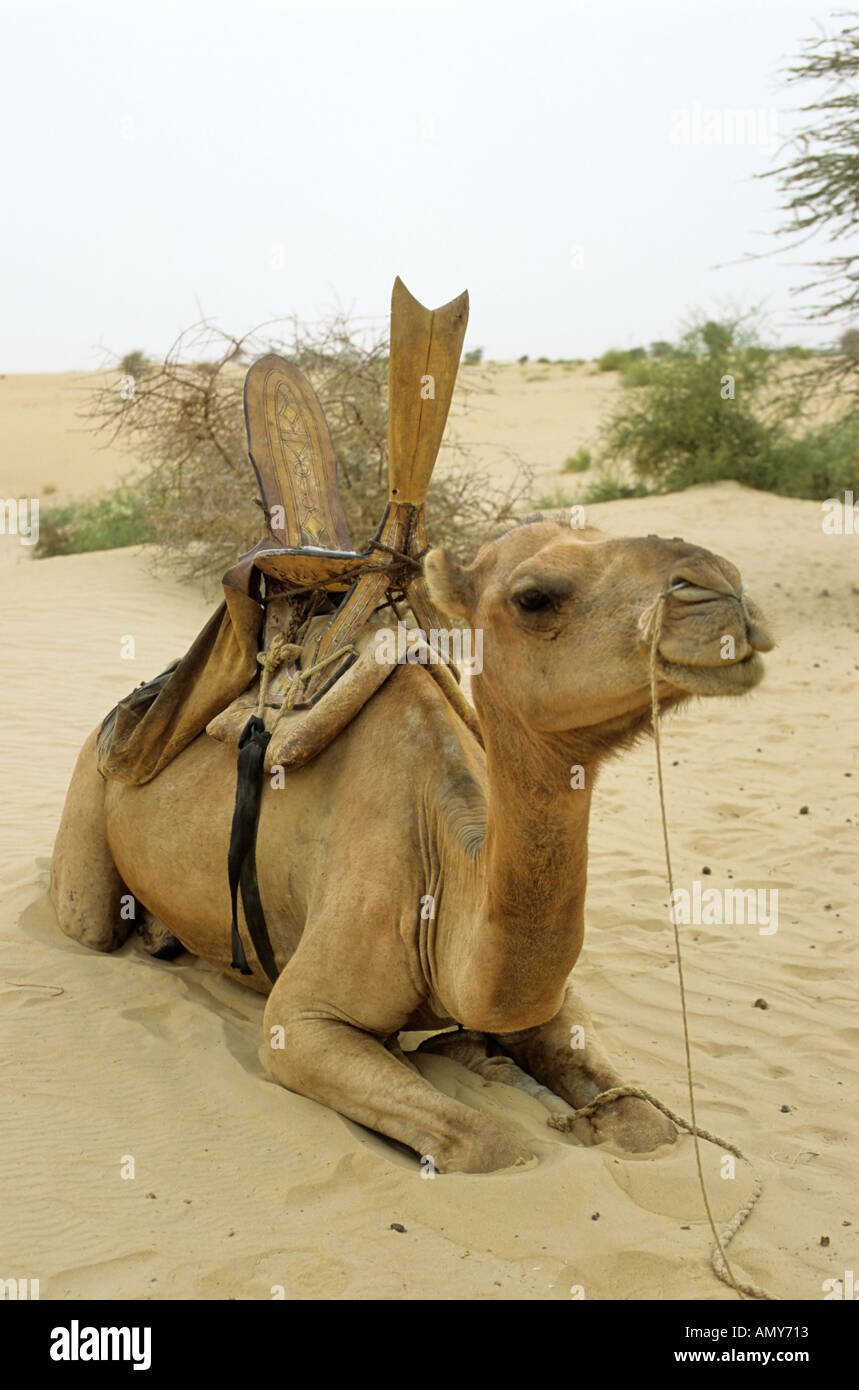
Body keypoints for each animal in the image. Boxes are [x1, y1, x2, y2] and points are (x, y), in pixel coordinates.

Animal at [50, 516, 773, 1172]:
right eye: (534, 596)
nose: (721, 586)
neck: (445, 864)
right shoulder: (300, 1021)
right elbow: (494, 1143)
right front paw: (474, 1068)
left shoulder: (554, 1006)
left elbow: (648, 1124)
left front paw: (485, 1059)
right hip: (88, 795)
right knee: (88, 921)